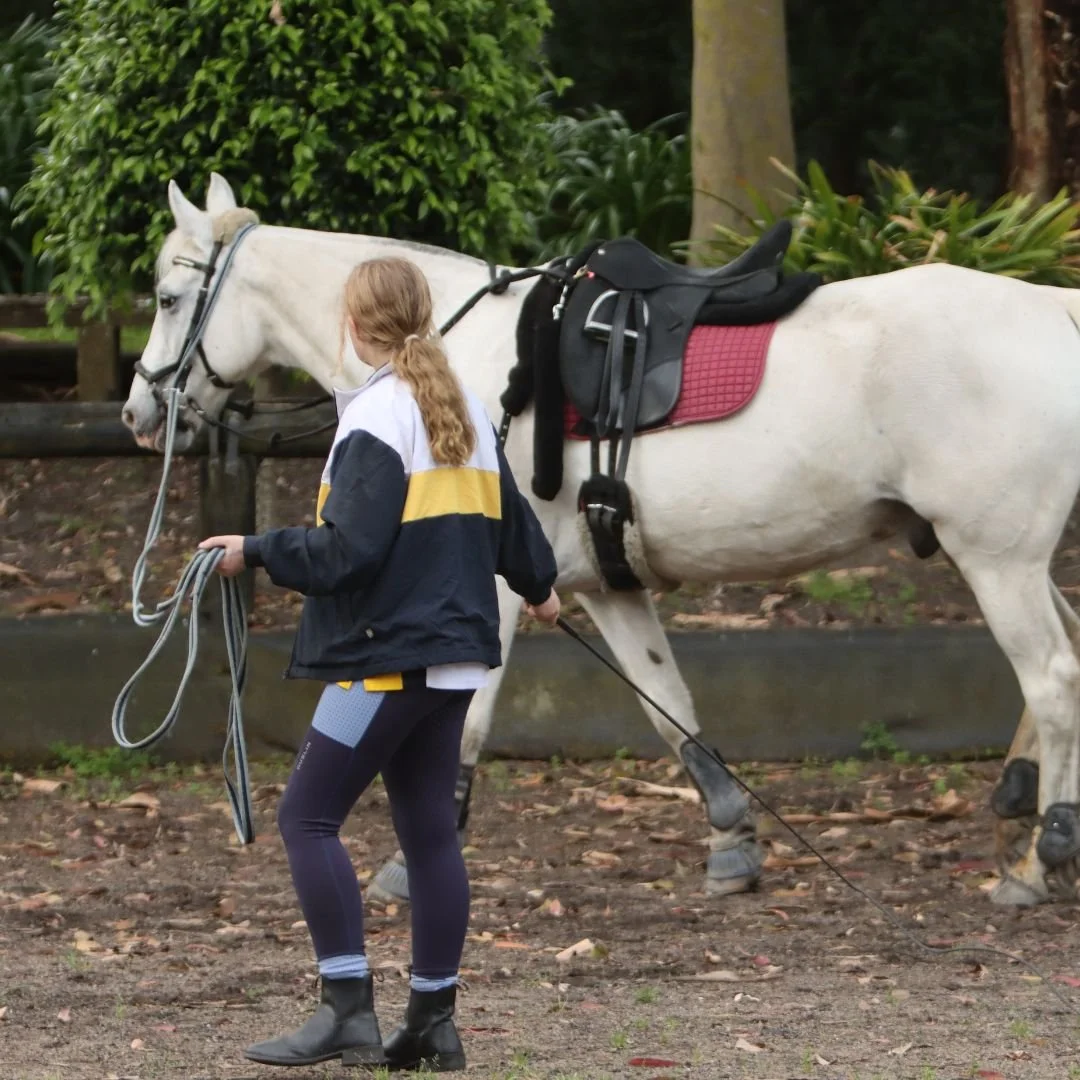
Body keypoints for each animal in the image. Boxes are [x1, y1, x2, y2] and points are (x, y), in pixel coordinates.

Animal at [121, 173, 1078, 909]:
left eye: (168, 299)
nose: (138, 413)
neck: (459, 359)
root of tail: (1053, 308)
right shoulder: (603, 585)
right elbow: (668, 706)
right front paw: (733, 841)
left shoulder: (495, 590)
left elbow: (467, 722)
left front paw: (407, 861)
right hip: (1010, 558)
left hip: (996, 558)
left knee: (1054, 679)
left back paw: (1040, 859)